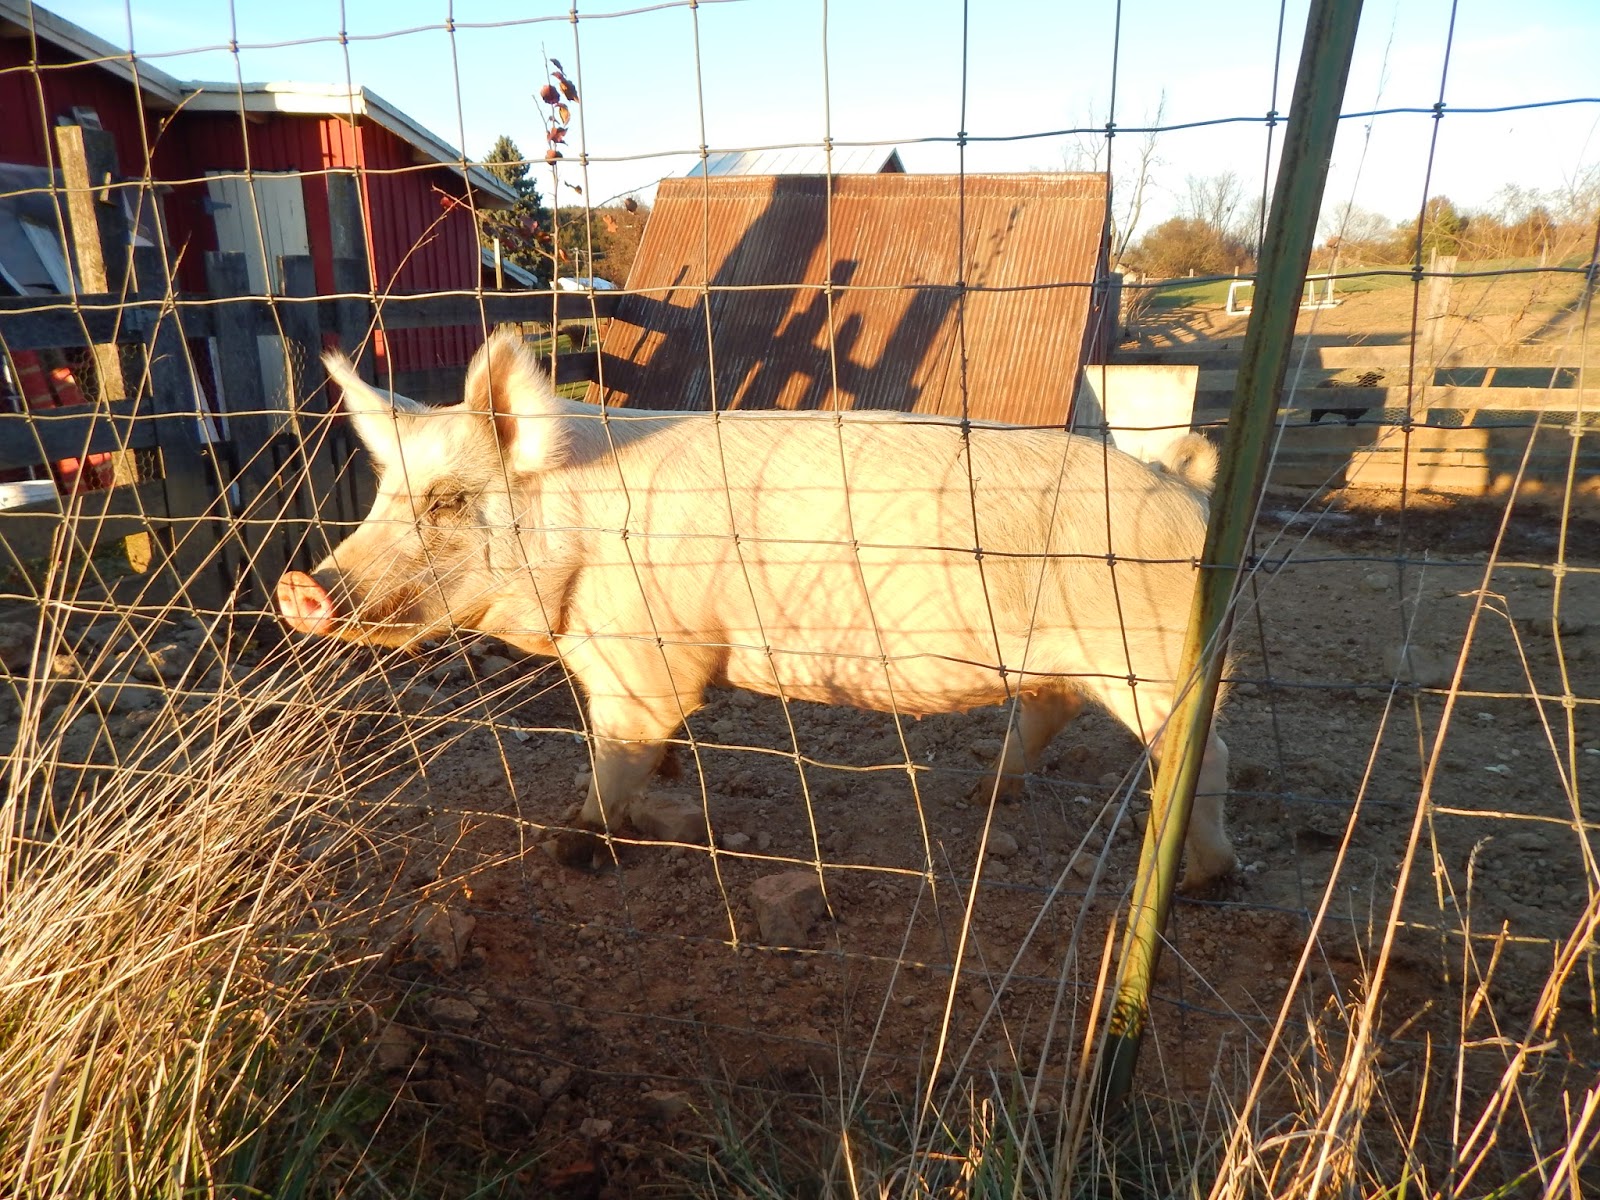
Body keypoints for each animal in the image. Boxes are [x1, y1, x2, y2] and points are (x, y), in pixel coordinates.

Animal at [277, 329, 1236, 888]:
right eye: (383, 495)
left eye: (447, 502)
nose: (300, 586)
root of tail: (1186, 489)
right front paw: (654, 788)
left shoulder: (644, 662)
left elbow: (619, 753)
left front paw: (572, 848)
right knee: (1050, 709)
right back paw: (982, 791)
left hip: (1157, 663)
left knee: (1204, 754)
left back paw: (1197, 878)